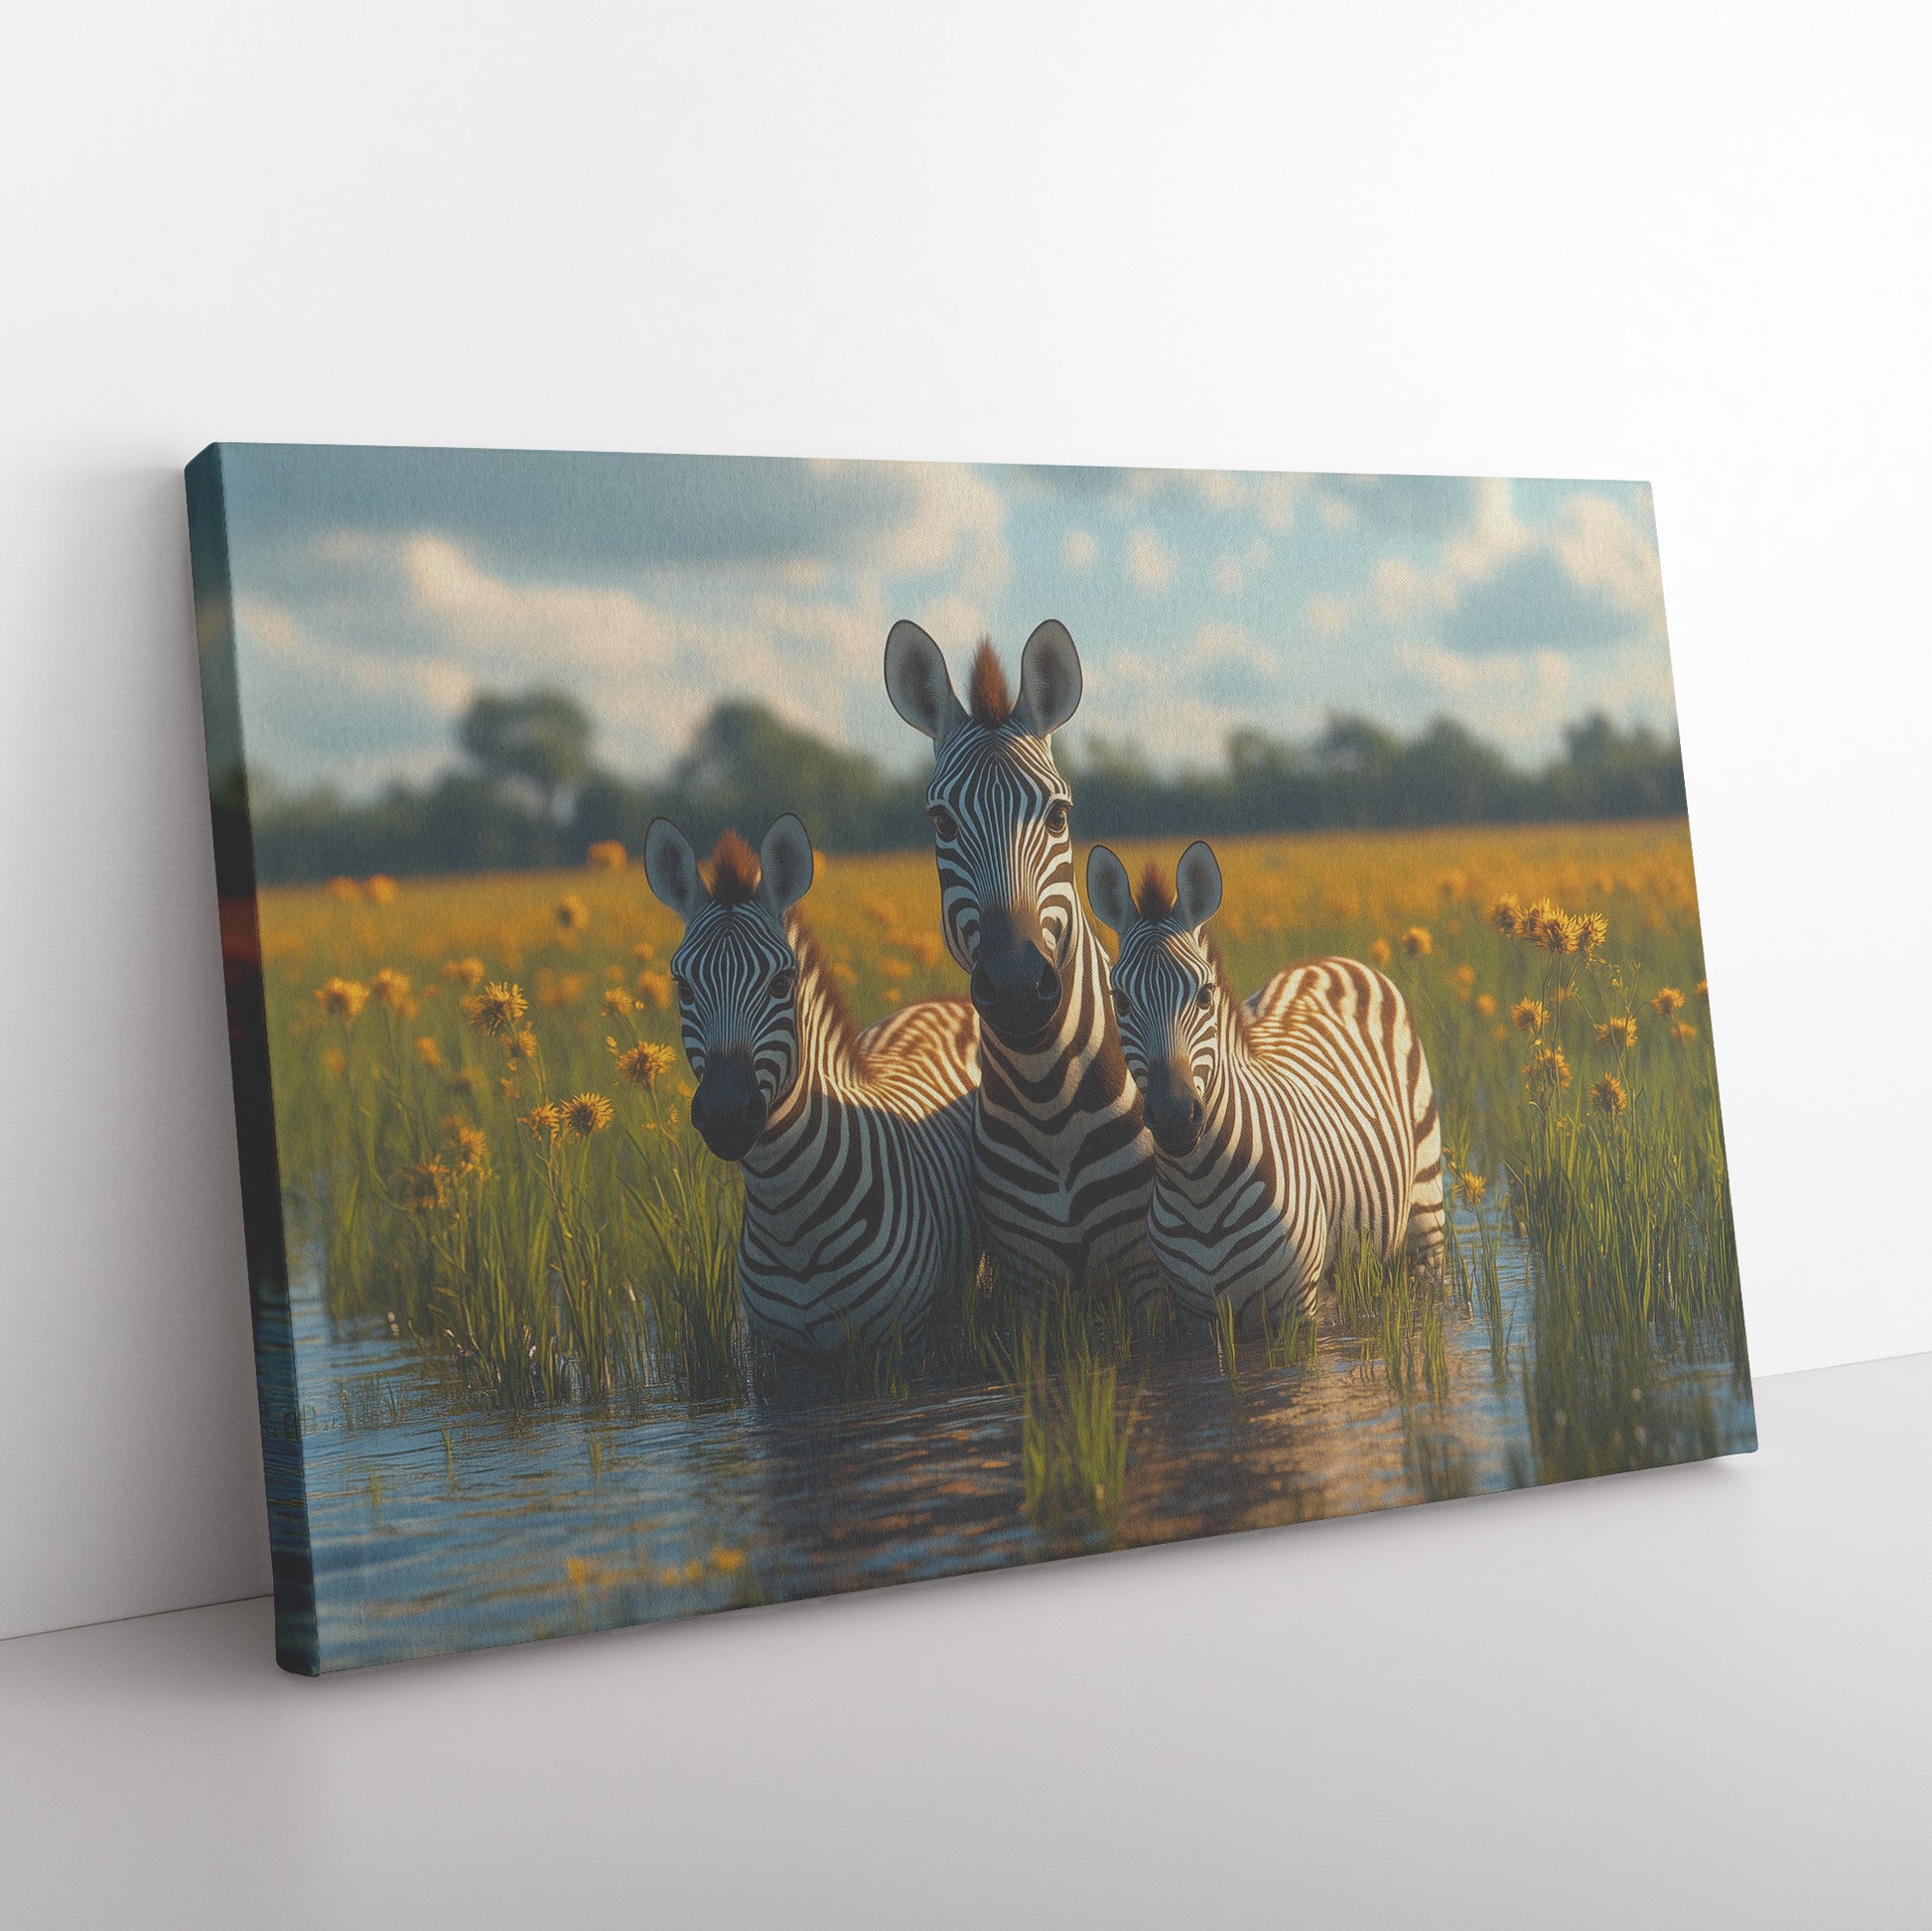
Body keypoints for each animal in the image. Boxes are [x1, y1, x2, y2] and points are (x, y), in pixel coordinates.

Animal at [643, 811, 982, 1357]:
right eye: (684, 987)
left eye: (782, 983)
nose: (726, 1114)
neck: (790, 1217)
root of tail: (940, 1000)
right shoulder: (782, 1356)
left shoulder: (906, 1342)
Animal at [884, 618, 1158, 1302]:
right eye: (941, 822)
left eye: (1059, 814)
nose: (1014, 988)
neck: (1047, 1101)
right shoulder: (1026, 1280)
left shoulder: (1151, 1272)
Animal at [1086, 838, 1445, 1326]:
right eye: (1119, 1001)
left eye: (1205, 995)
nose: (1177, 1117)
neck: (1199, 1189)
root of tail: (1327, 961)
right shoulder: (1198, 1317)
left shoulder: (1300, 1309)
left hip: (1426, 1215)